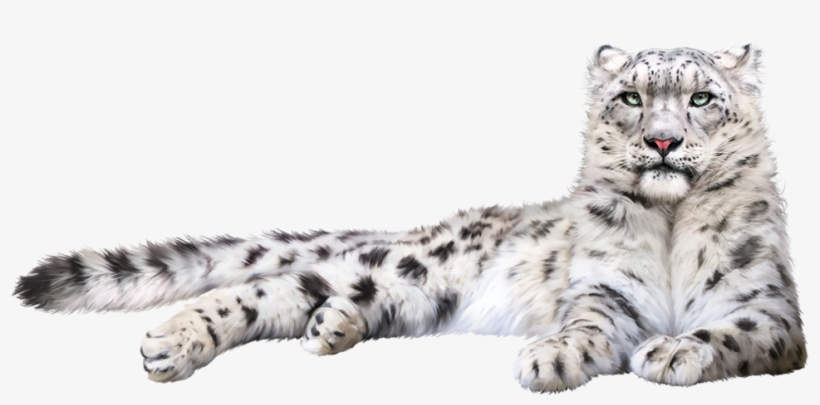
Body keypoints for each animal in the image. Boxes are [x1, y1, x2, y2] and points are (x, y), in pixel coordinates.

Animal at [14, 44, 806, 392]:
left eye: (701, 98)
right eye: (632, 98)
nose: (663, 141)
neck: (668, 229)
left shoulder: (769, 306)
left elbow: (733, 329)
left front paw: (673, 352)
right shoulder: (602, 292)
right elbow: (584, 325)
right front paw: (552, 356)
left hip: (414, 294)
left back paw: (332, 327)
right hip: (407, 266)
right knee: (269, 287)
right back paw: (172, 342)